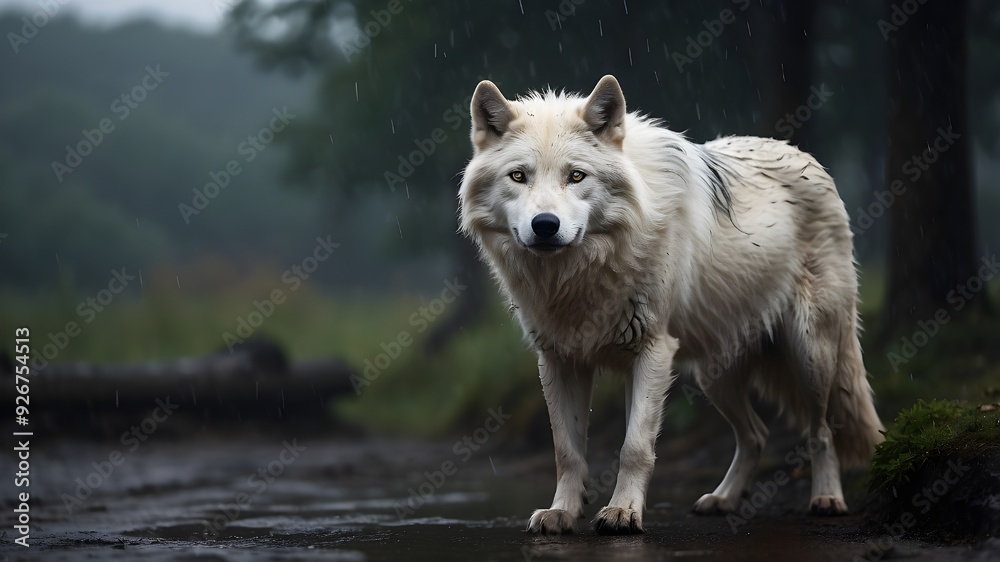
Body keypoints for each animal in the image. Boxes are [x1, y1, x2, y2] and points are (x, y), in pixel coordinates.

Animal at [458, 75, 884, 535]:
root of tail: (802, 153)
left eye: (576, 176)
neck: (579, 277)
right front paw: (562, 513)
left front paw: (623, 512)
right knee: (757, 434)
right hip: (713, 375)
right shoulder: (559, 359)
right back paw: (722, 499)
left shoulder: (653, 350)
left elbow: (634, 446)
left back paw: (827, 498)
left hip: (810, 354)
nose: (545, 225)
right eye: (519, 176)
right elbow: (566, 450)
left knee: (822, 429)